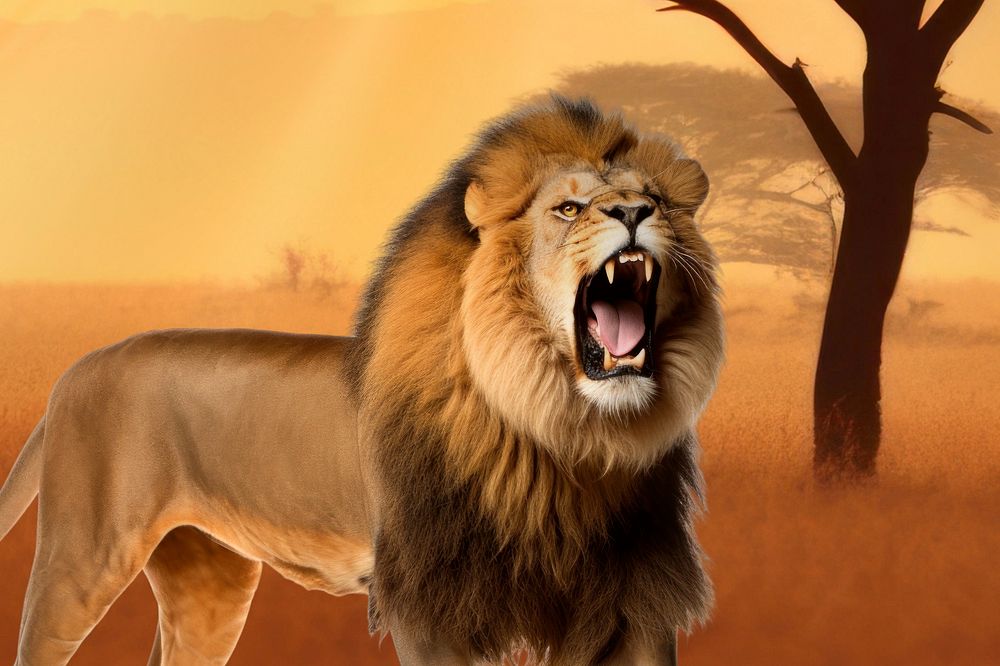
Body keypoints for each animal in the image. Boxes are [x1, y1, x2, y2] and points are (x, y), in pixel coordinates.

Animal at [0, 95, 723, 665]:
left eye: (656, 201)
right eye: (569, 208)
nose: (633, 212)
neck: (563, 432)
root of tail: (77, 369)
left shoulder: (633, 597)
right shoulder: (432, 603)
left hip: (207, 585)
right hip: (81, 556)